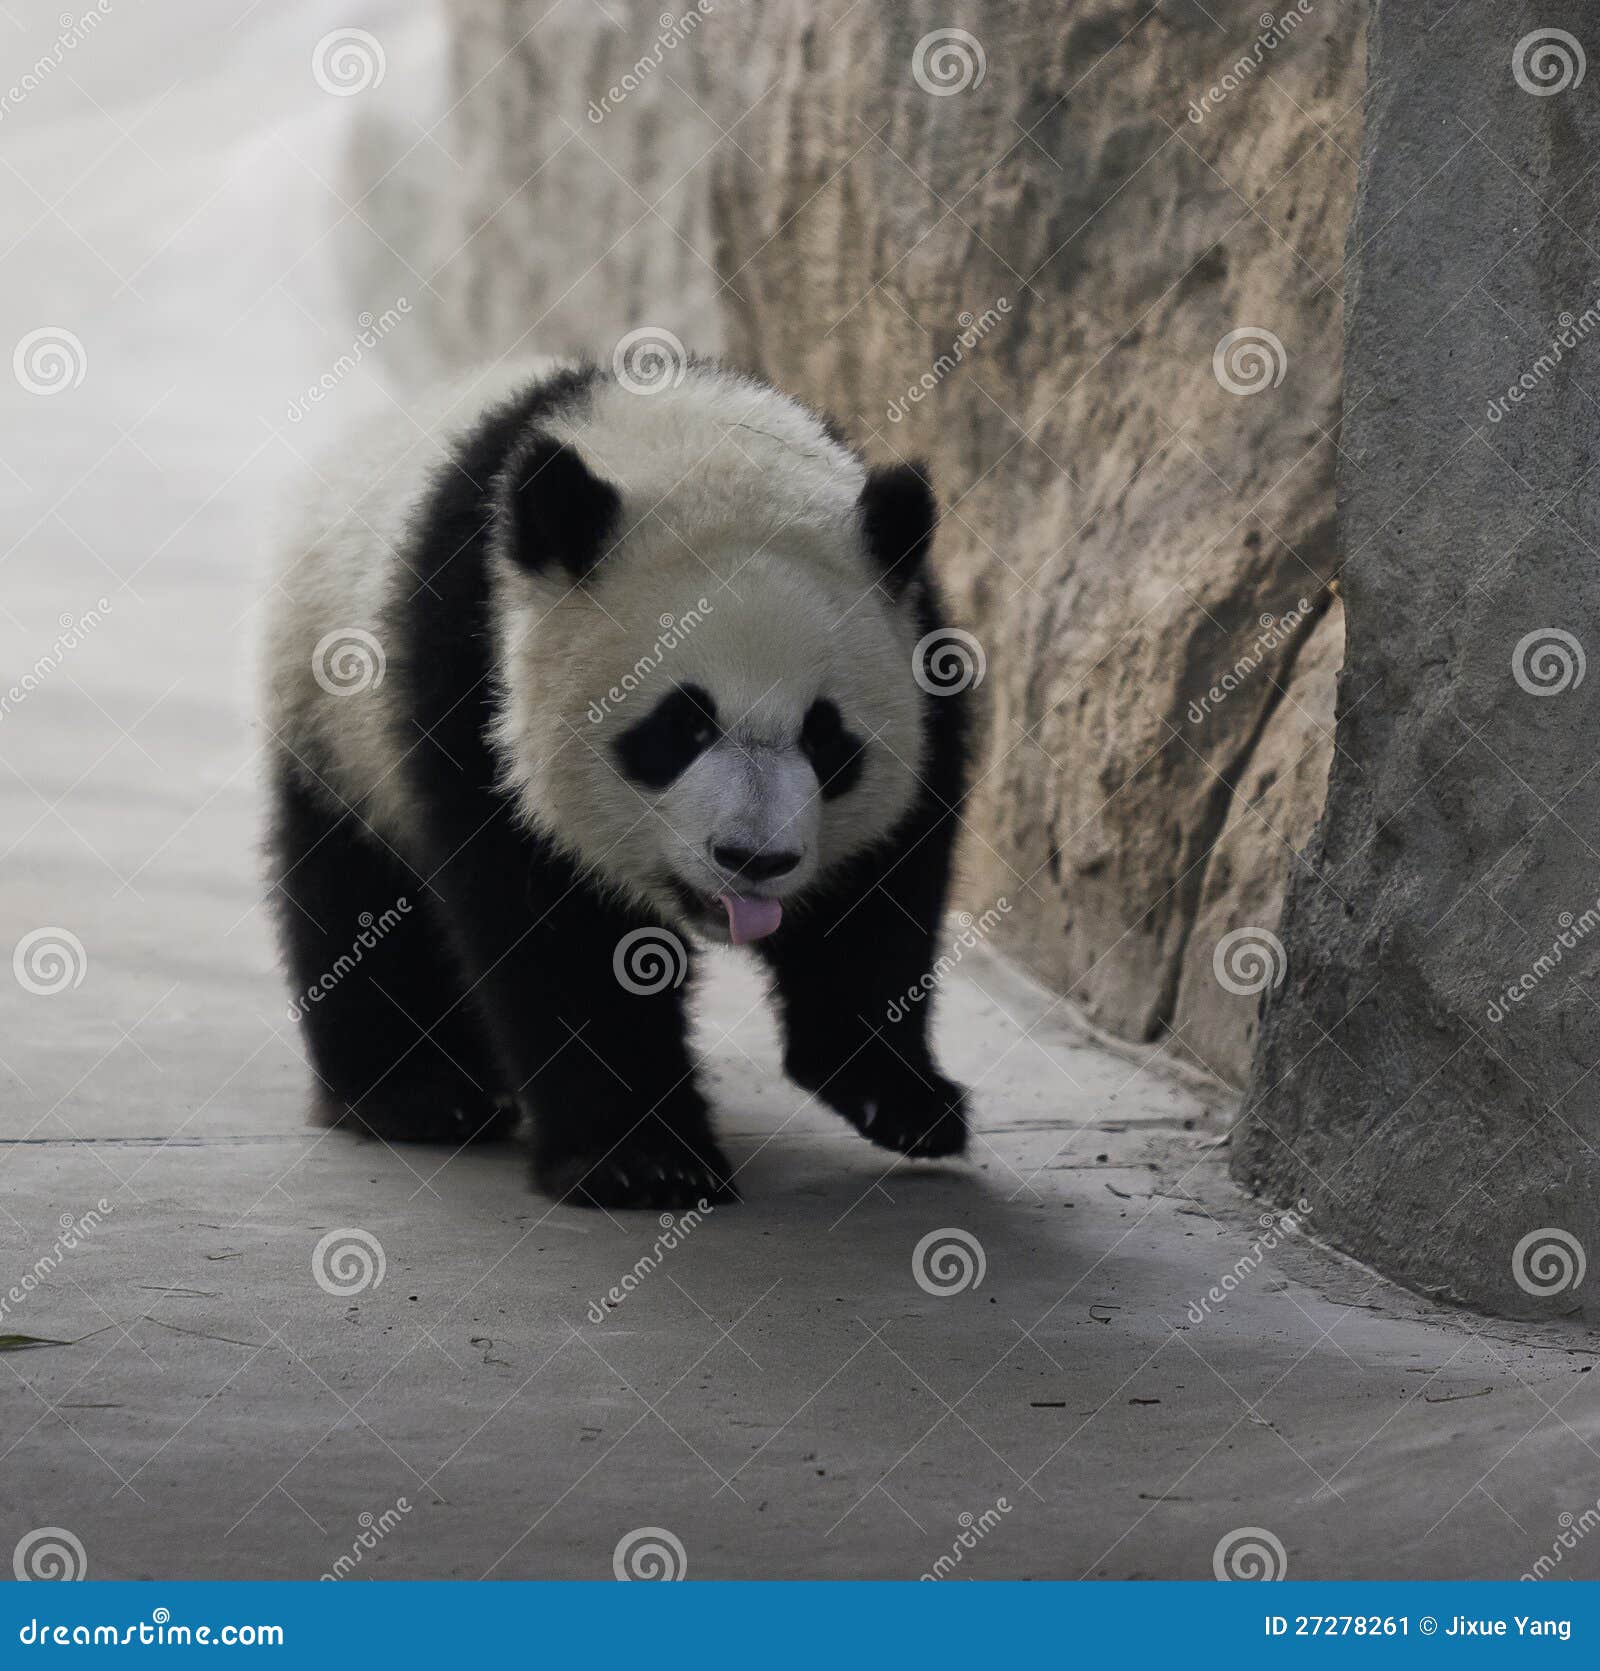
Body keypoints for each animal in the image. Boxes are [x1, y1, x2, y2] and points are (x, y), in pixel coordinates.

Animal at [263, 356, 973, 1209]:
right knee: (355, 889)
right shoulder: (473, 688)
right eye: (682, 726)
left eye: (824, 737)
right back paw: (418, 1093)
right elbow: (553, 928)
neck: (695, 441)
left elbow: (883, 891)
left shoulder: (924, 661)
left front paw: (901, 1097)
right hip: (334, 721)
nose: (753, 859)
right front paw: (642, 1159)